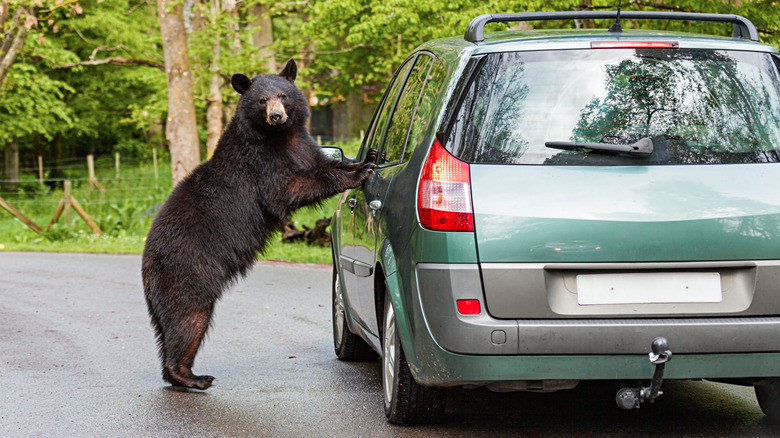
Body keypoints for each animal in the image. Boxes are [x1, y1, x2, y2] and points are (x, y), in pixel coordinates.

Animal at [142, 59, 376, 390]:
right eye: (262, 100)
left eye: (283, 95)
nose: (277, 116)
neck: (279, 137)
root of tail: (146, 261)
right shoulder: (261, 164)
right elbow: (288, 188)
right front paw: (359, 172)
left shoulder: (303, 146)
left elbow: (323, 163)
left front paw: (365, 159)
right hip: (187, 271)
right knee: (188, 318)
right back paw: (191, 376)